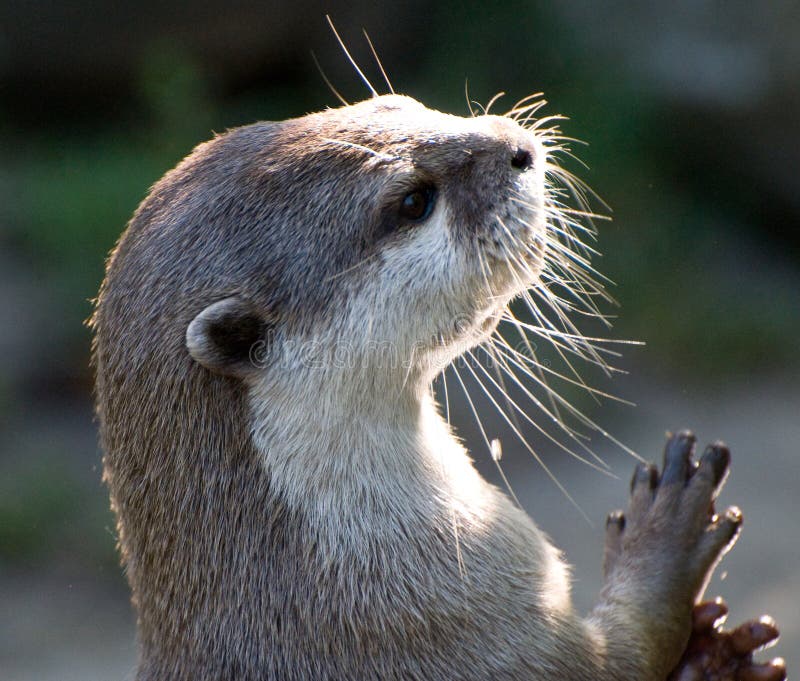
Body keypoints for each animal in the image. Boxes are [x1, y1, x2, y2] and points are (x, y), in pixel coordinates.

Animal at [91, 94, 785, 680]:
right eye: (413, 202)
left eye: (398, 103)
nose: (518, 147)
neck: (332, 565)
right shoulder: (470, 629)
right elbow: (627, 652)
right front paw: (661, 537)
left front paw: (717, 658)